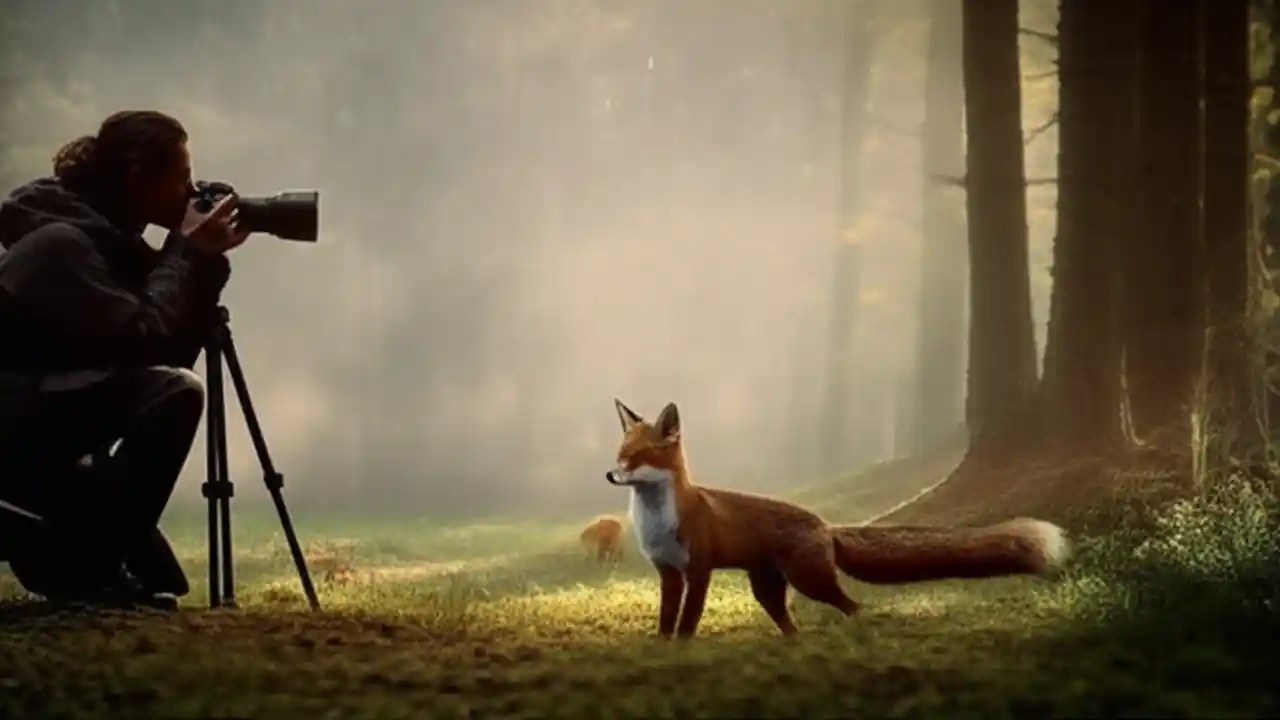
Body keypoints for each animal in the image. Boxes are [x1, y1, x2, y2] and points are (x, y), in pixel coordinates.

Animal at [605, 399, 1071, 639]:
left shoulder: (698, 570)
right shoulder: (668, 573)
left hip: (810, 580)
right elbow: (666, 620)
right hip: (769, 589)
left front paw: (683, 648)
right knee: (791, 624)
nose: (610, 474)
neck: (657, 520)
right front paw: (663, 650)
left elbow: (688, 620)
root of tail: (825, 523)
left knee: (853, 606)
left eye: (637, 458)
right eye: (619, 455)